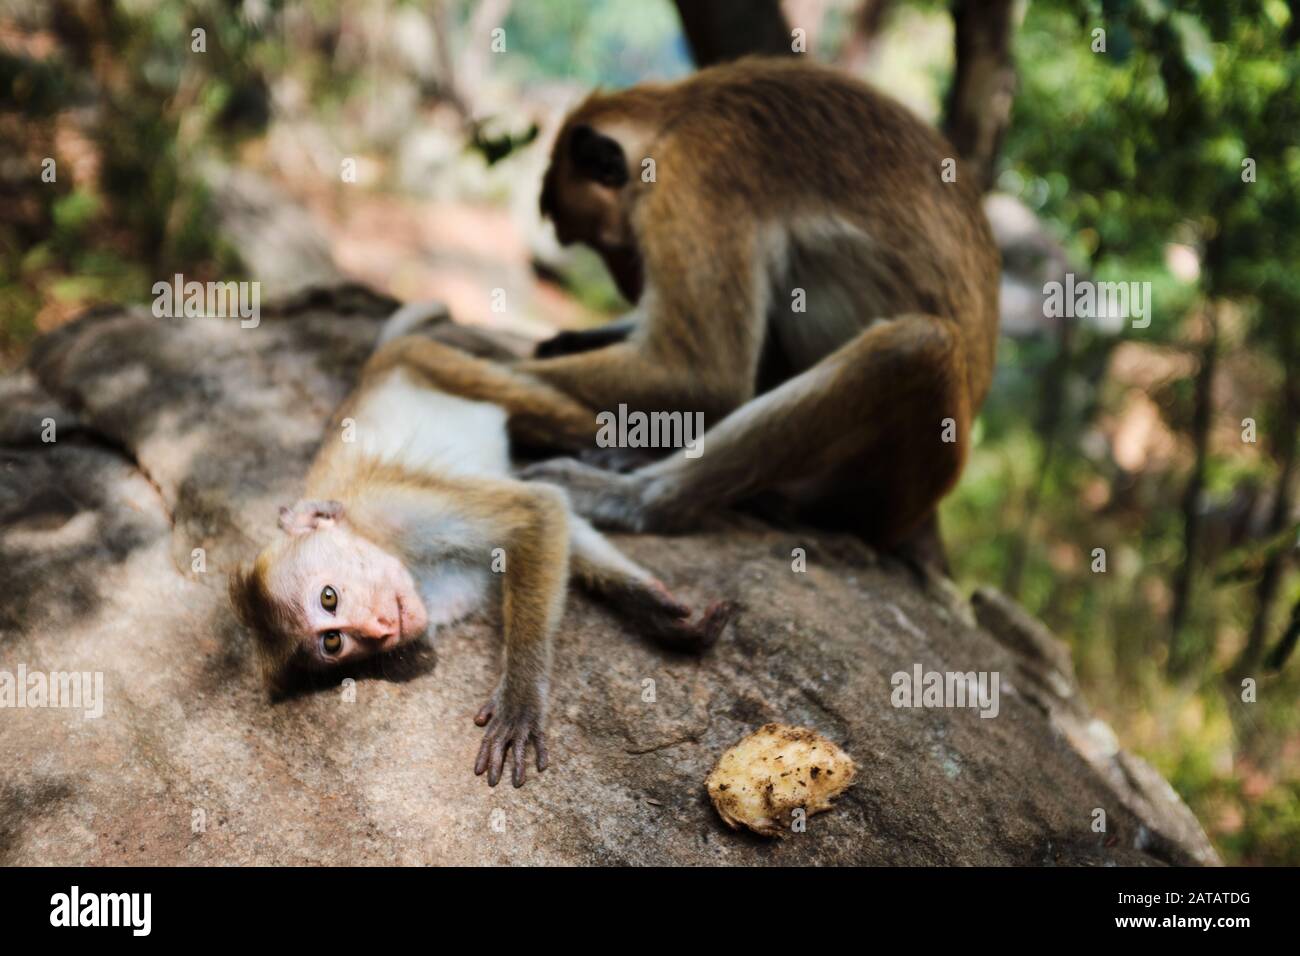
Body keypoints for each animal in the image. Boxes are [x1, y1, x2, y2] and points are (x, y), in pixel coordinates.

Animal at [230, 304, 733, 788]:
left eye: (329, 598)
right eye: (334, 643)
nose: (378, 629)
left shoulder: (398, 511)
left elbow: (536, 509)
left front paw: (521, 700)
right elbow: (553, 516)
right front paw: (655, 608)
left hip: (432, 360)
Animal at [517, 58, 1001, 560]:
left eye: (614, 248)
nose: (630, 288)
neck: (675, 117)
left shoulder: (693, 177)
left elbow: (699, 378)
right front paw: (574, 340)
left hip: (874, 491)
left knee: (914, 345)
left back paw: (643, 498)